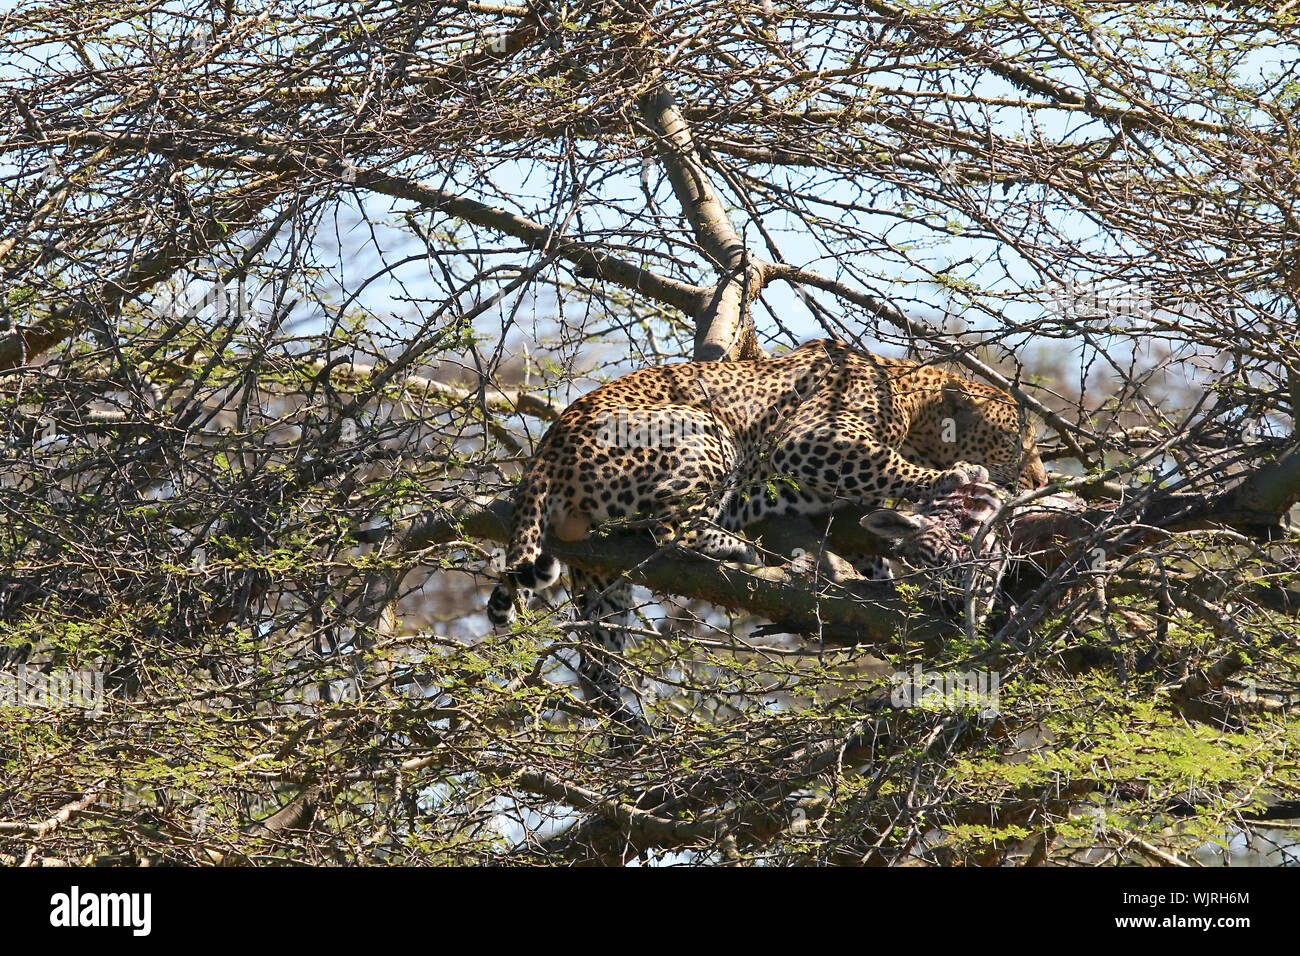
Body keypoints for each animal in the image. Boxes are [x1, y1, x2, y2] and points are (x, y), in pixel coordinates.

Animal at [487, 337, 1048, 732]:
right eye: (1018, 441)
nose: (1042, 481)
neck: (910, 400)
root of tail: (546, 451)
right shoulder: (812, 439)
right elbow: (888, 467)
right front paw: (952, 477)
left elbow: (868, 536)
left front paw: (878, 577)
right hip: (704, 430)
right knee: (669, 529)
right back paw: (736, 547)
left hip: (601, 576)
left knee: (597, 663)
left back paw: (630, 724)